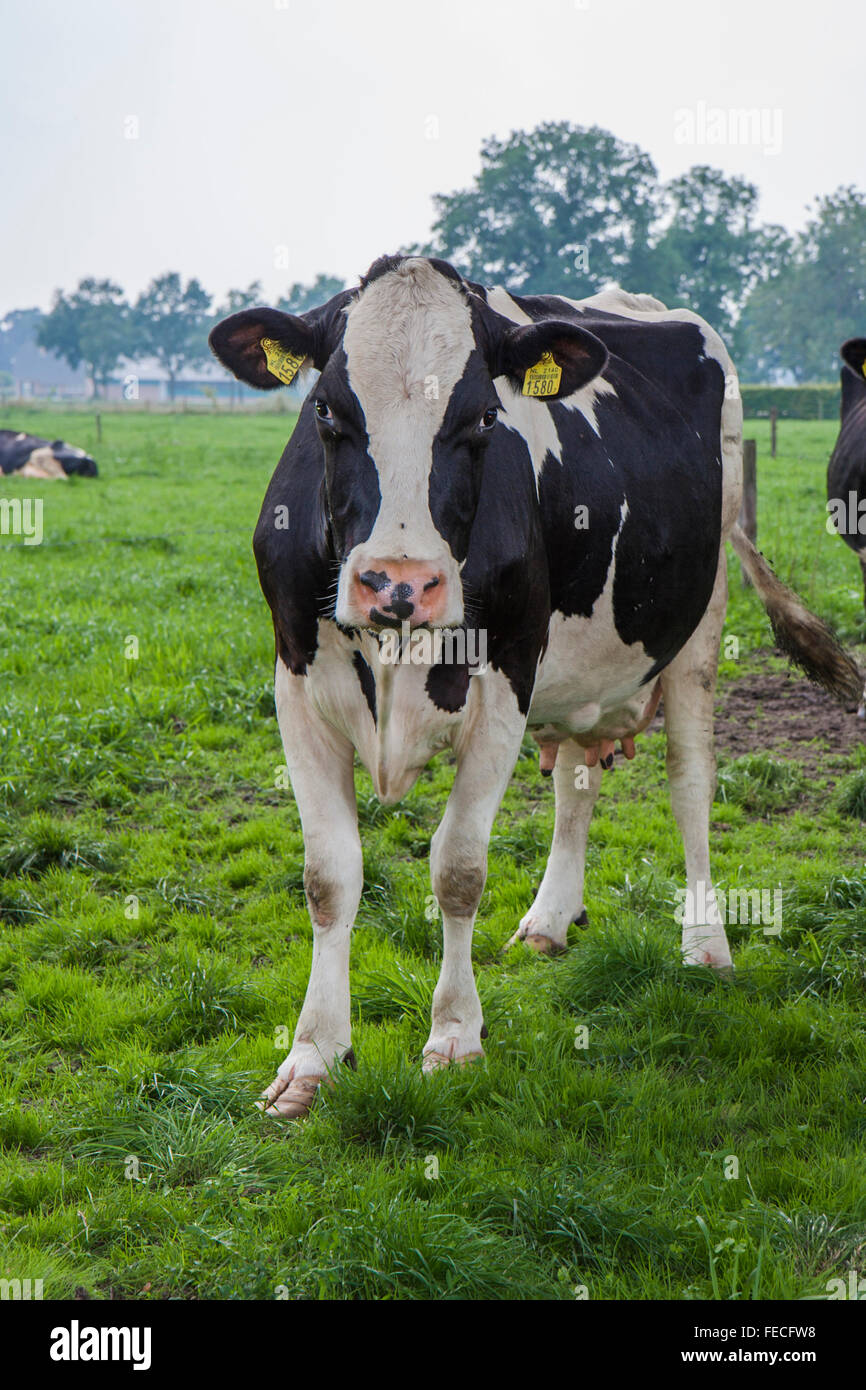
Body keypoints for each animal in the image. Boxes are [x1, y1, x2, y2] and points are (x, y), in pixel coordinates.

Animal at [210, 255, 861, 1120]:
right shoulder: (296, 685)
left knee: (691, 782)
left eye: (485, 417)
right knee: (576, 784)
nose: (399, 583)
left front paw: (454, 1037)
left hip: (701, 622)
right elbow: (328, 878)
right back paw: (552, 918)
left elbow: (457, 869)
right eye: (325, 410)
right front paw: (313, 1056)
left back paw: (706, 944)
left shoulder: (504, 685)